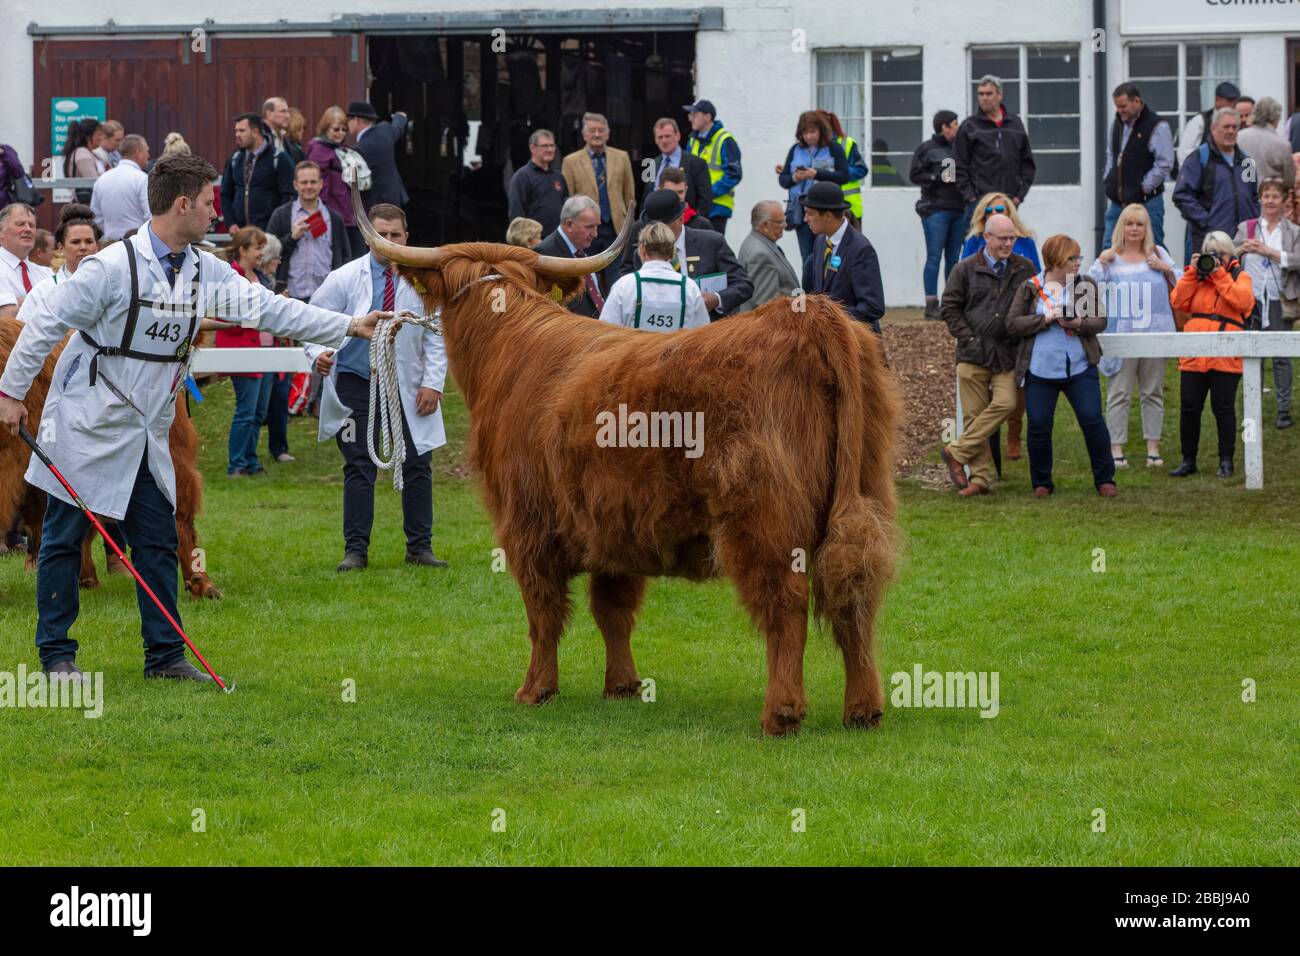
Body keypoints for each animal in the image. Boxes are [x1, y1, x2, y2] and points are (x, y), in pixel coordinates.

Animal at [353, 190, 901, 736]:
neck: (510, 348)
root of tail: (808, 314)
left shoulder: (525, 522)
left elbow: (543, 610)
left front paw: (536, 689)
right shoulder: (612, 521)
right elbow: (612, 609)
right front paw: (622, 685)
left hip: (763, 516)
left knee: (786, 600)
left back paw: (781, 713)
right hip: (865, 487)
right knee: (856, 594)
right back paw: (863, 709)